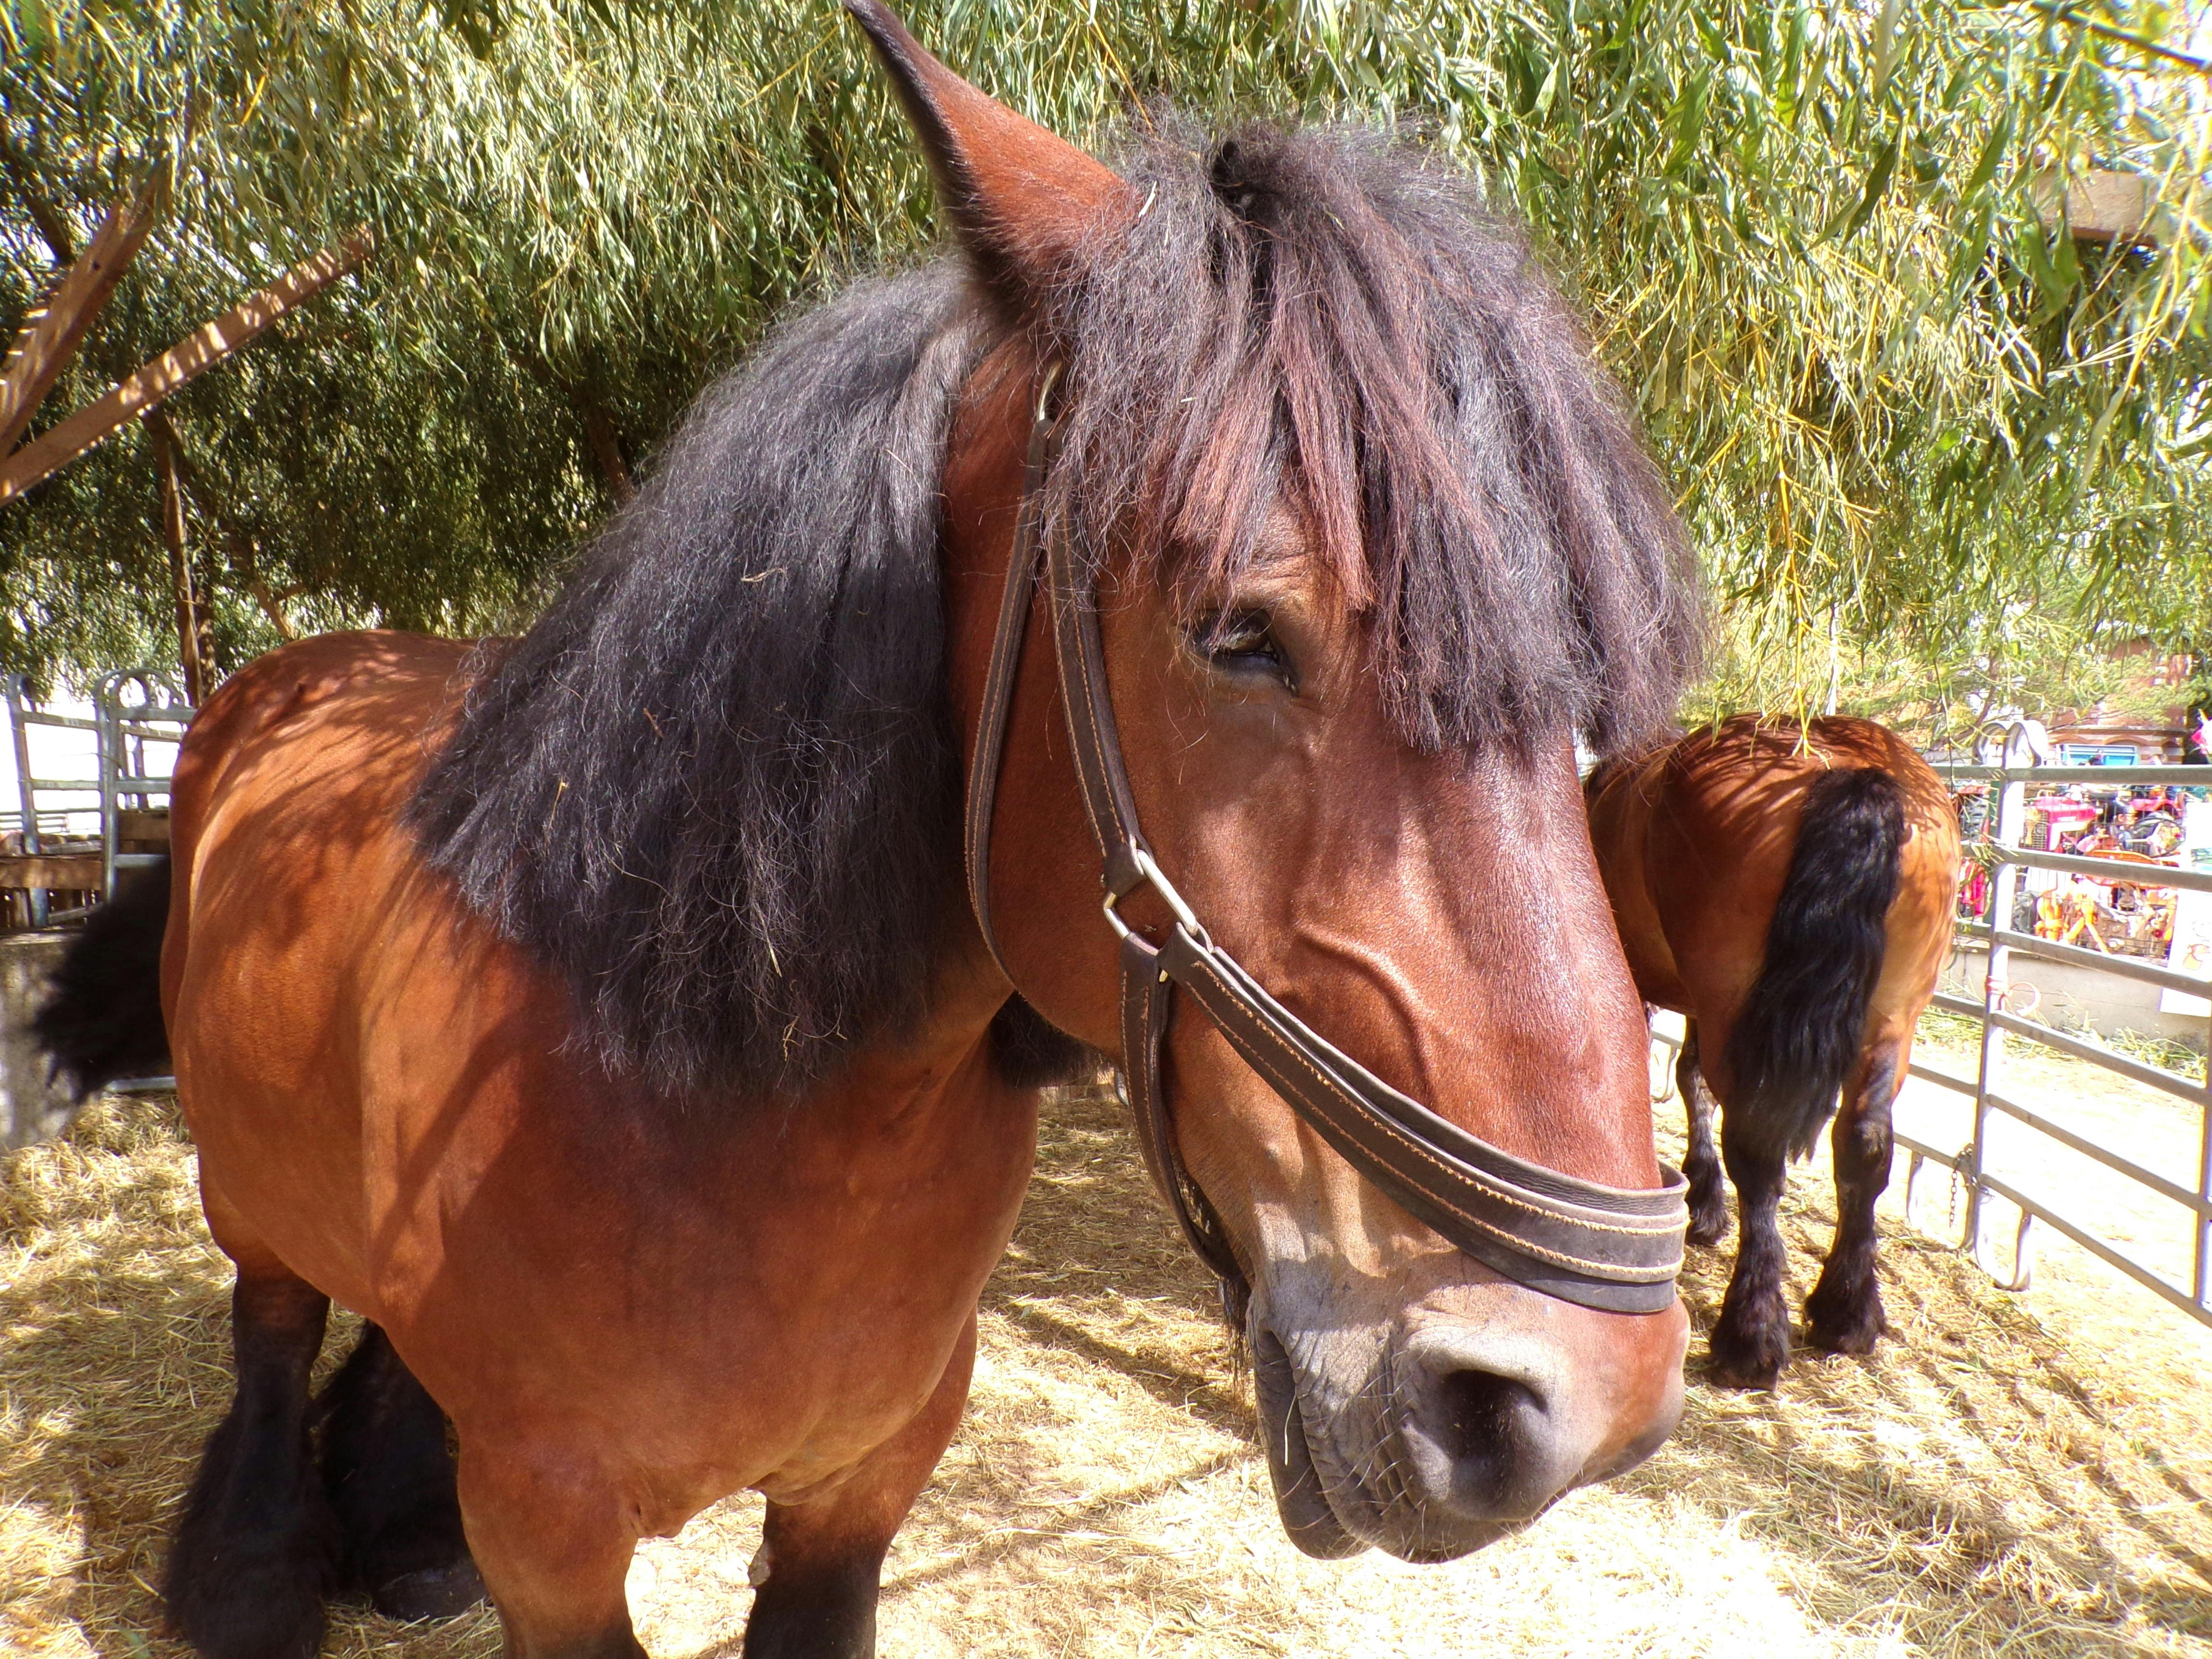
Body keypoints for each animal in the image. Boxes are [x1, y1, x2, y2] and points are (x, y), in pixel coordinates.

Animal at [35, 6, 1704, 1654]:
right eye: (1240, 635)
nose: (1571, 1403)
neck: (725, 1114)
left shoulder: (866, 1486)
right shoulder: (552, 1538)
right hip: (245, 1202)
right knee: (270, 1328)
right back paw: (252, 1578)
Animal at [1584, 715, 1962, 1390]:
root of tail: (1848, 769)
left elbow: (1680, 1077)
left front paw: (1701, 1200)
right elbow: (1690, 1078)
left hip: (1735, 1000)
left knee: (1757, 1153)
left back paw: (1751, 1332)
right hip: (1892, 1018)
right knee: (1864, 1143)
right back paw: (1846, 1312)